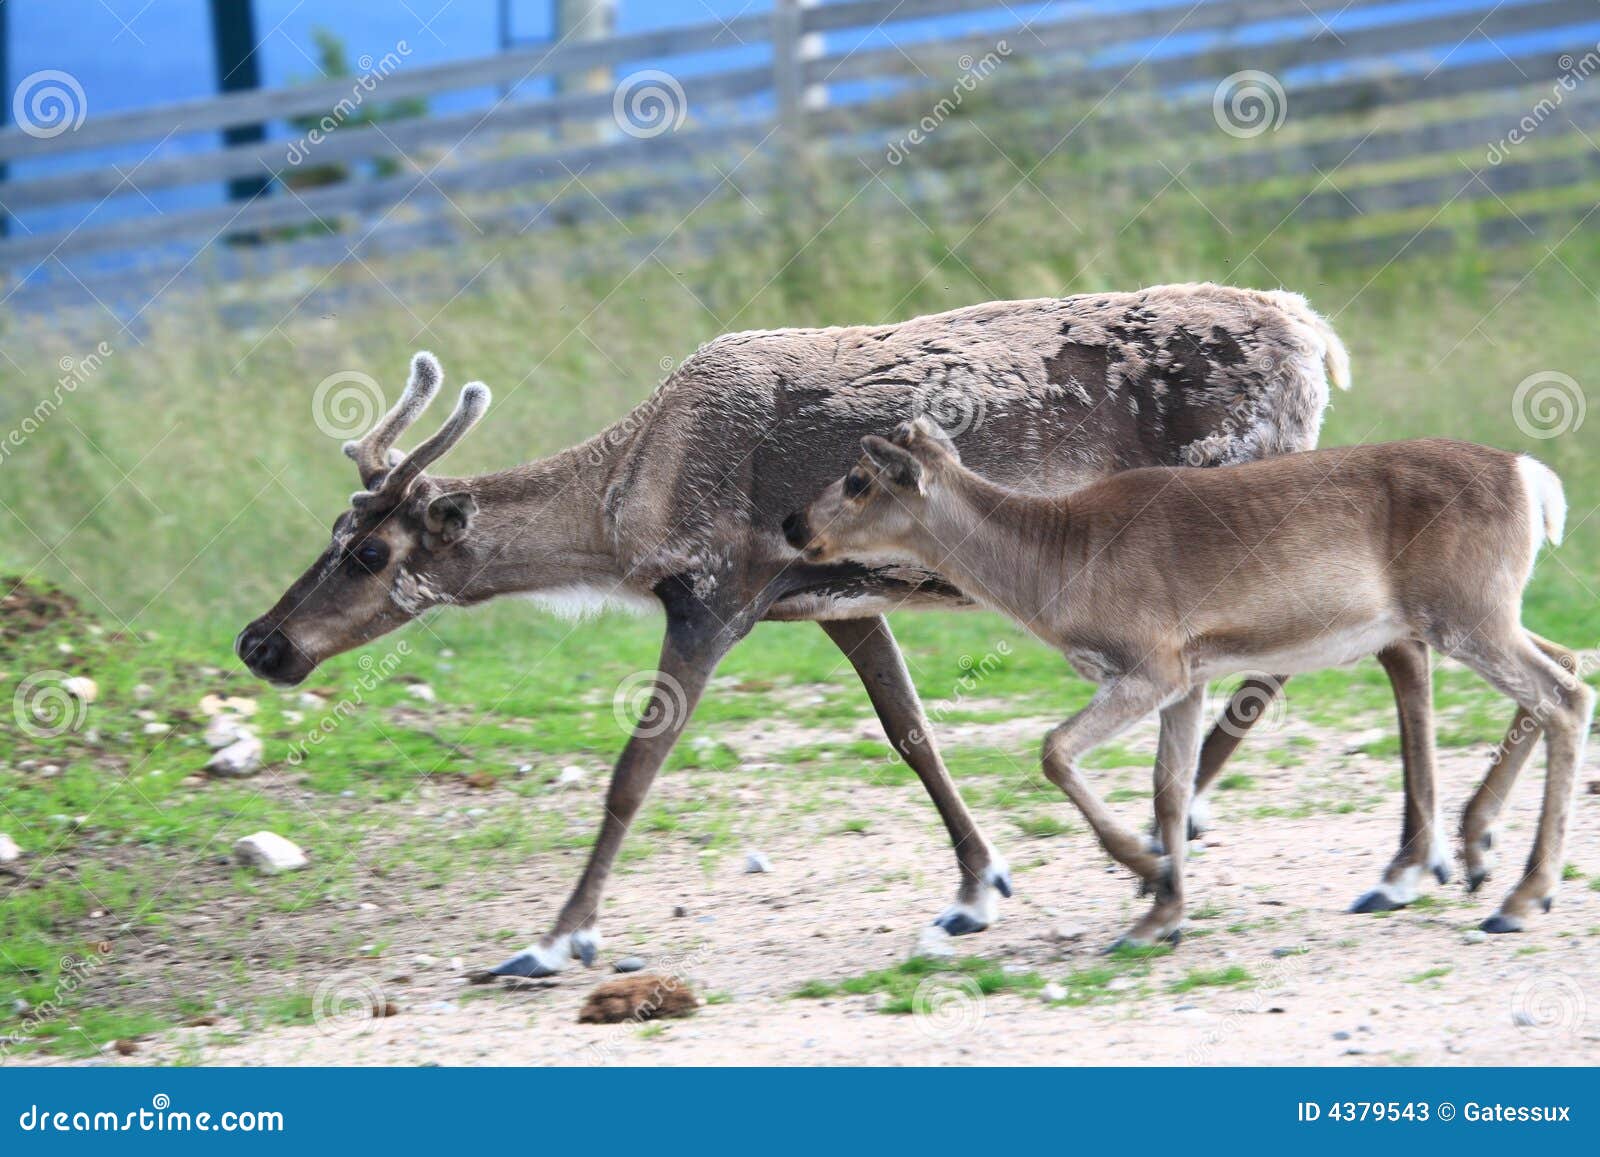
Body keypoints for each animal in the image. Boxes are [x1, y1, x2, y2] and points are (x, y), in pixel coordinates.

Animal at [236, 282, 1453, 978]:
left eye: (370, 553)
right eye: (335, 527)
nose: (260, 642)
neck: (632, 495)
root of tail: (1313, 331)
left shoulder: (715, 594)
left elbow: (632, 771)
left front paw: (553, 936)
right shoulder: (845, 603)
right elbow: (911, 734)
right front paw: (974, 889)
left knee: (1323, 653)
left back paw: (1211, 830)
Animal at [786, 418, 1591, 945]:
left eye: (857, 479)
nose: (794, 524)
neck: (1055, 565)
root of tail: (1533, 480)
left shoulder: (1153, 663)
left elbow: (1054, 750)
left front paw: (1149, 870)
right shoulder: (1190, 674)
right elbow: (1168, 787)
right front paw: (1161, 914)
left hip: (1466, 613)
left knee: (1565, 696)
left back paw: (1522, 896)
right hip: (1481, 612)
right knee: (1570, 663)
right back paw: (1480, 855)